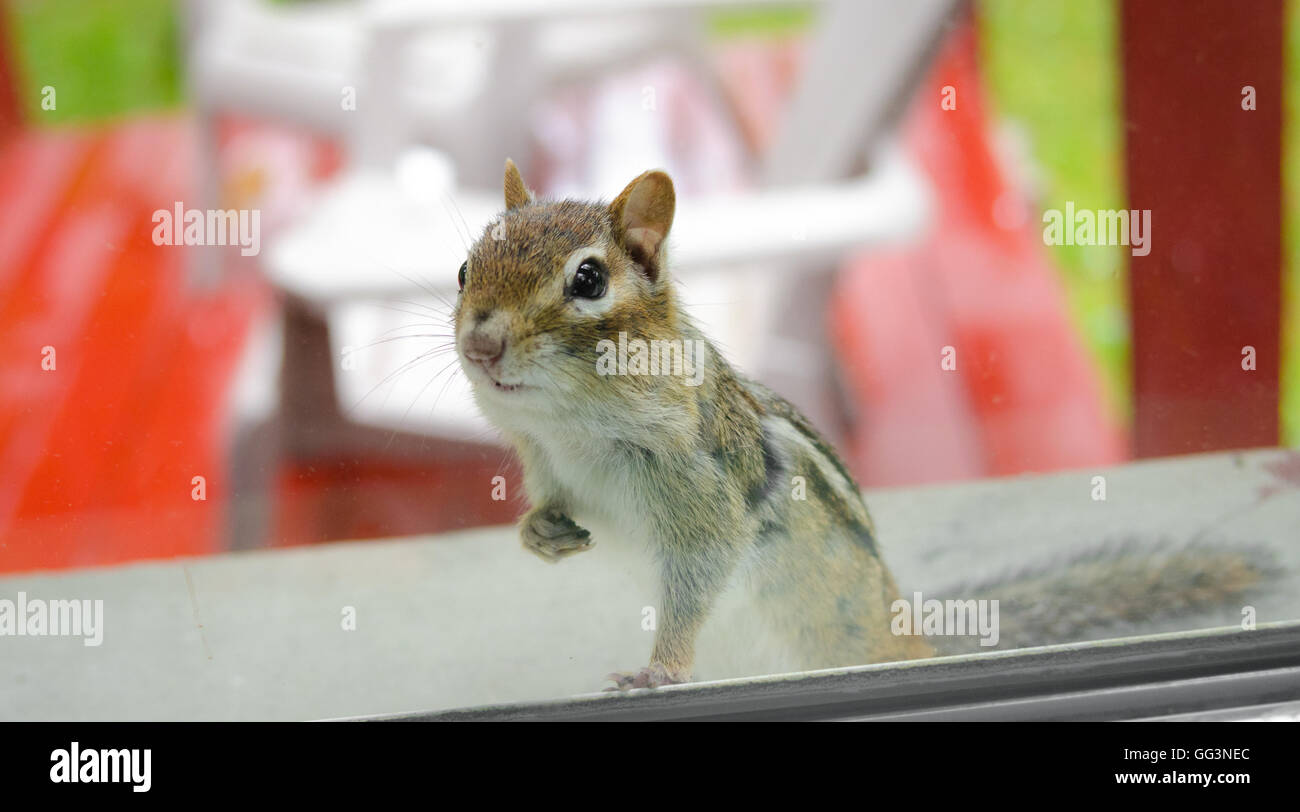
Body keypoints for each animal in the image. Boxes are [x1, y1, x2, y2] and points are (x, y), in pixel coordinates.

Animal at [452, 160, 1278, 689]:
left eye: (589, 280)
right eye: (464, 270)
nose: (480, 343)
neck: (571, 429)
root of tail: (903, 631)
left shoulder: (703, 498)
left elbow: (698, 578)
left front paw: (663, 667)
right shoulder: (547, 464)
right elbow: (550, 514)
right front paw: (541, 532)